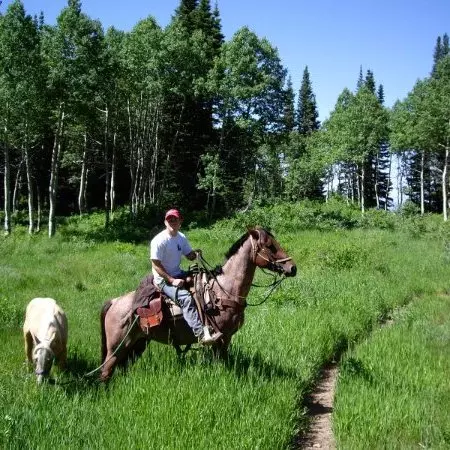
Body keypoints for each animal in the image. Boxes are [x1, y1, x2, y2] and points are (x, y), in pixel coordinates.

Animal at [99, 229, 296, 380]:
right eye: (270, 246)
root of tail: (114, 302)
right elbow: (221, 363)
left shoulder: (226, 338)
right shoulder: (222, 337)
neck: (224, 290)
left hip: (137, 343)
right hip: (116, 347)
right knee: (105, 371)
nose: (292, 268)